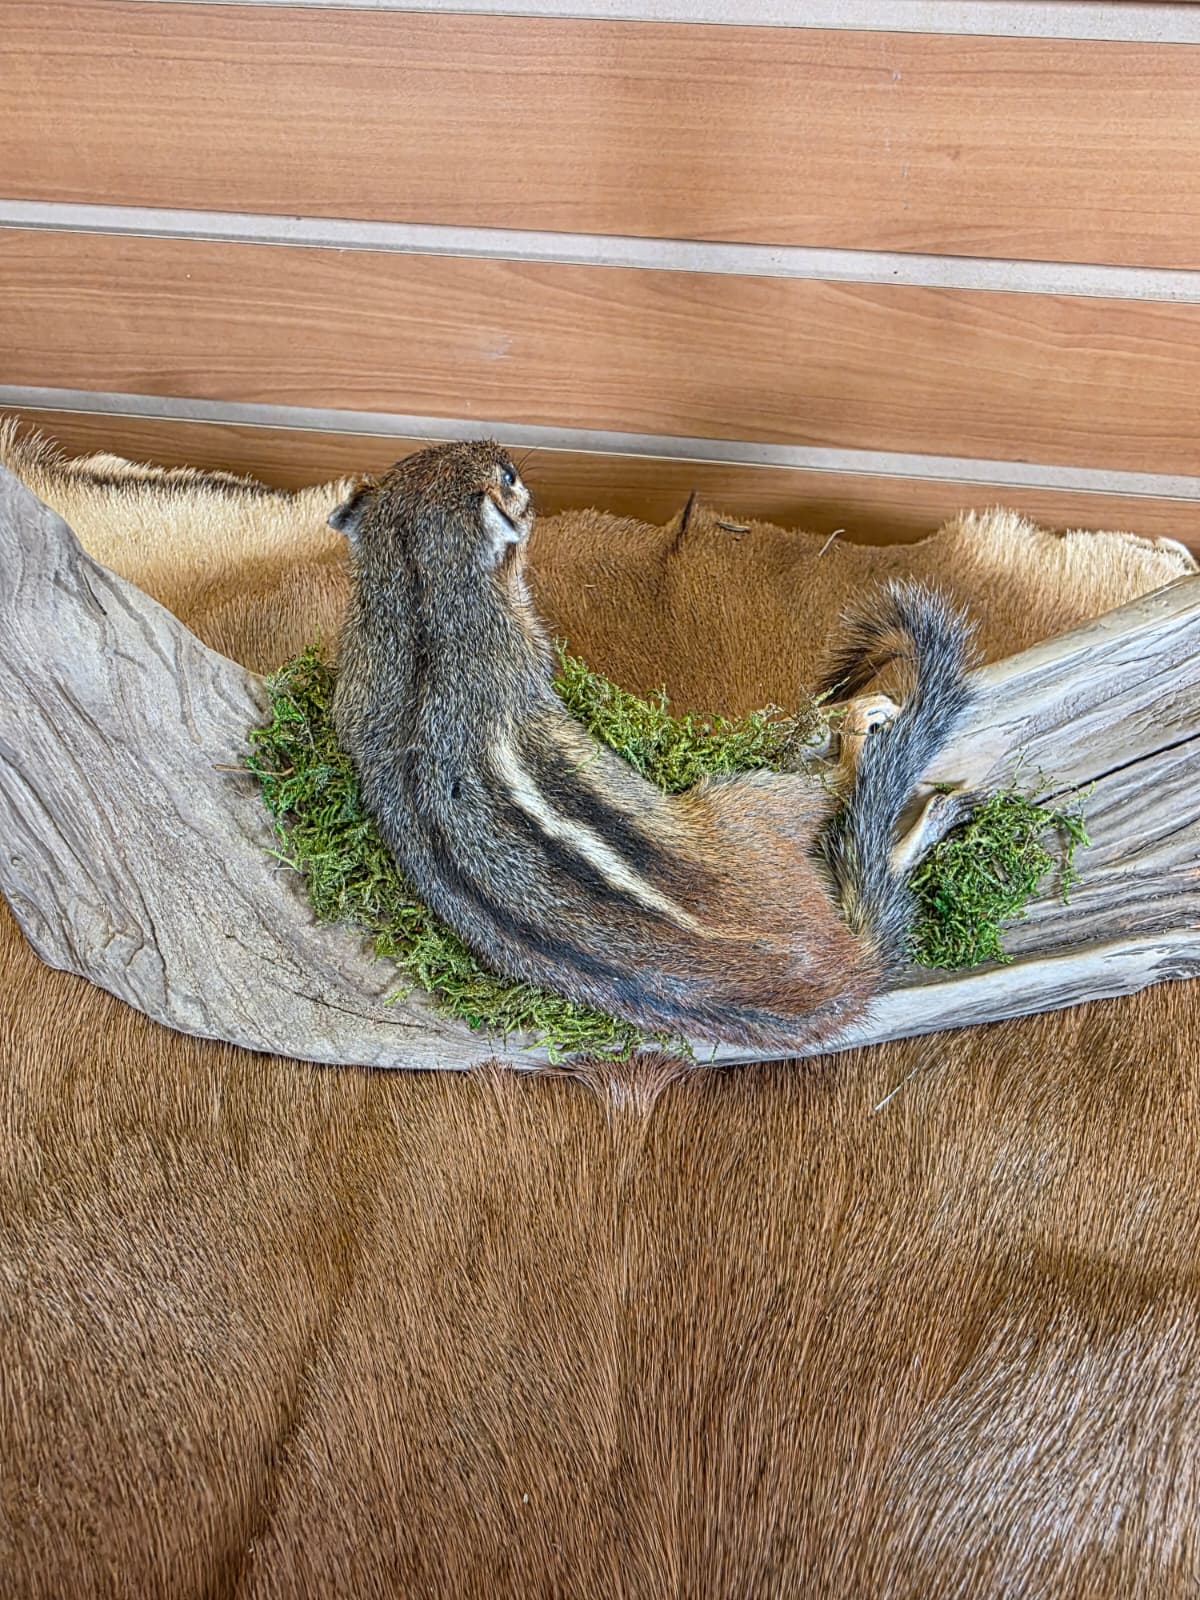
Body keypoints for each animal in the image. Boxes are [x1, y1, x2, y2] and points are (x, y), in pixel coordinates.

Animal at [330, 441, 974, 1052]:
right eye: (507, 477)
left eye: (417, 457)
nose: (509, 455)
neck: (417, 600)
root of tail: (848, 974)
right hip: (747, 801)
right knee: (842, 796)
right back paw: (866, 734)